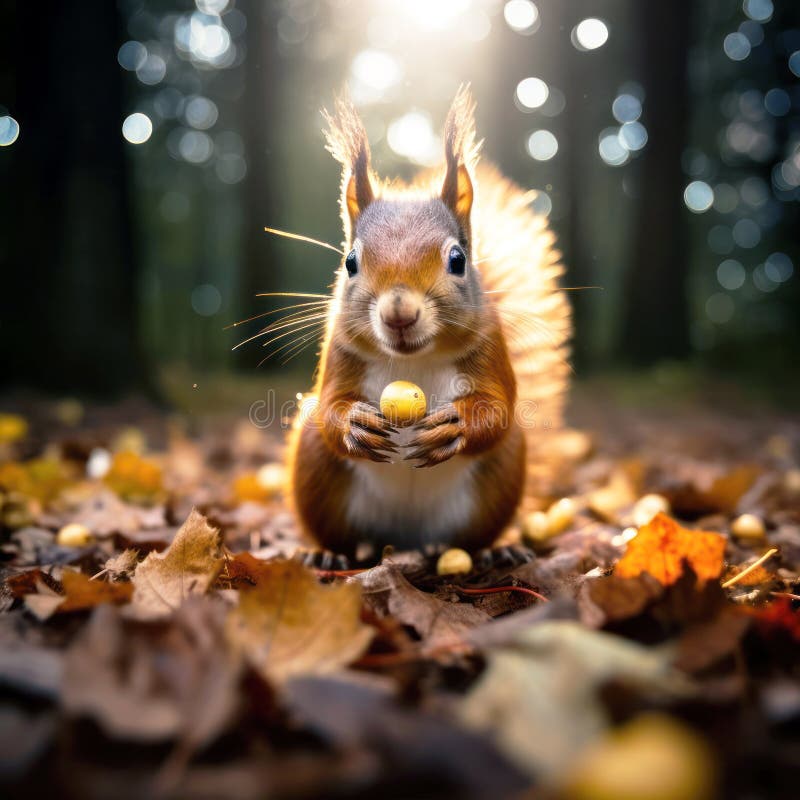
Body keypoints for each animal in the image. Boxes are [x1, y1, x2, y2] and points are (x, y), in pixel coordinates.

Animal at [285, 86, 571, 560]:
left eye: (457, 259)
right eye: (350, 262)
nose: (399, 313)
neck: (412, 360)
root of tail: (405, 541)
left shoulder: (491, 348)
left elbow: (498, 407)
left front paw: (456, 424)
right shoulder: (339, 350)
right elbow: (330, 407)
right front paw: (354, 422)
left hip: (503, 474)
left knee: (472, 530)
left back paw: (492, 551)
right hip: (315, 472)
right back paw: (328, 553)